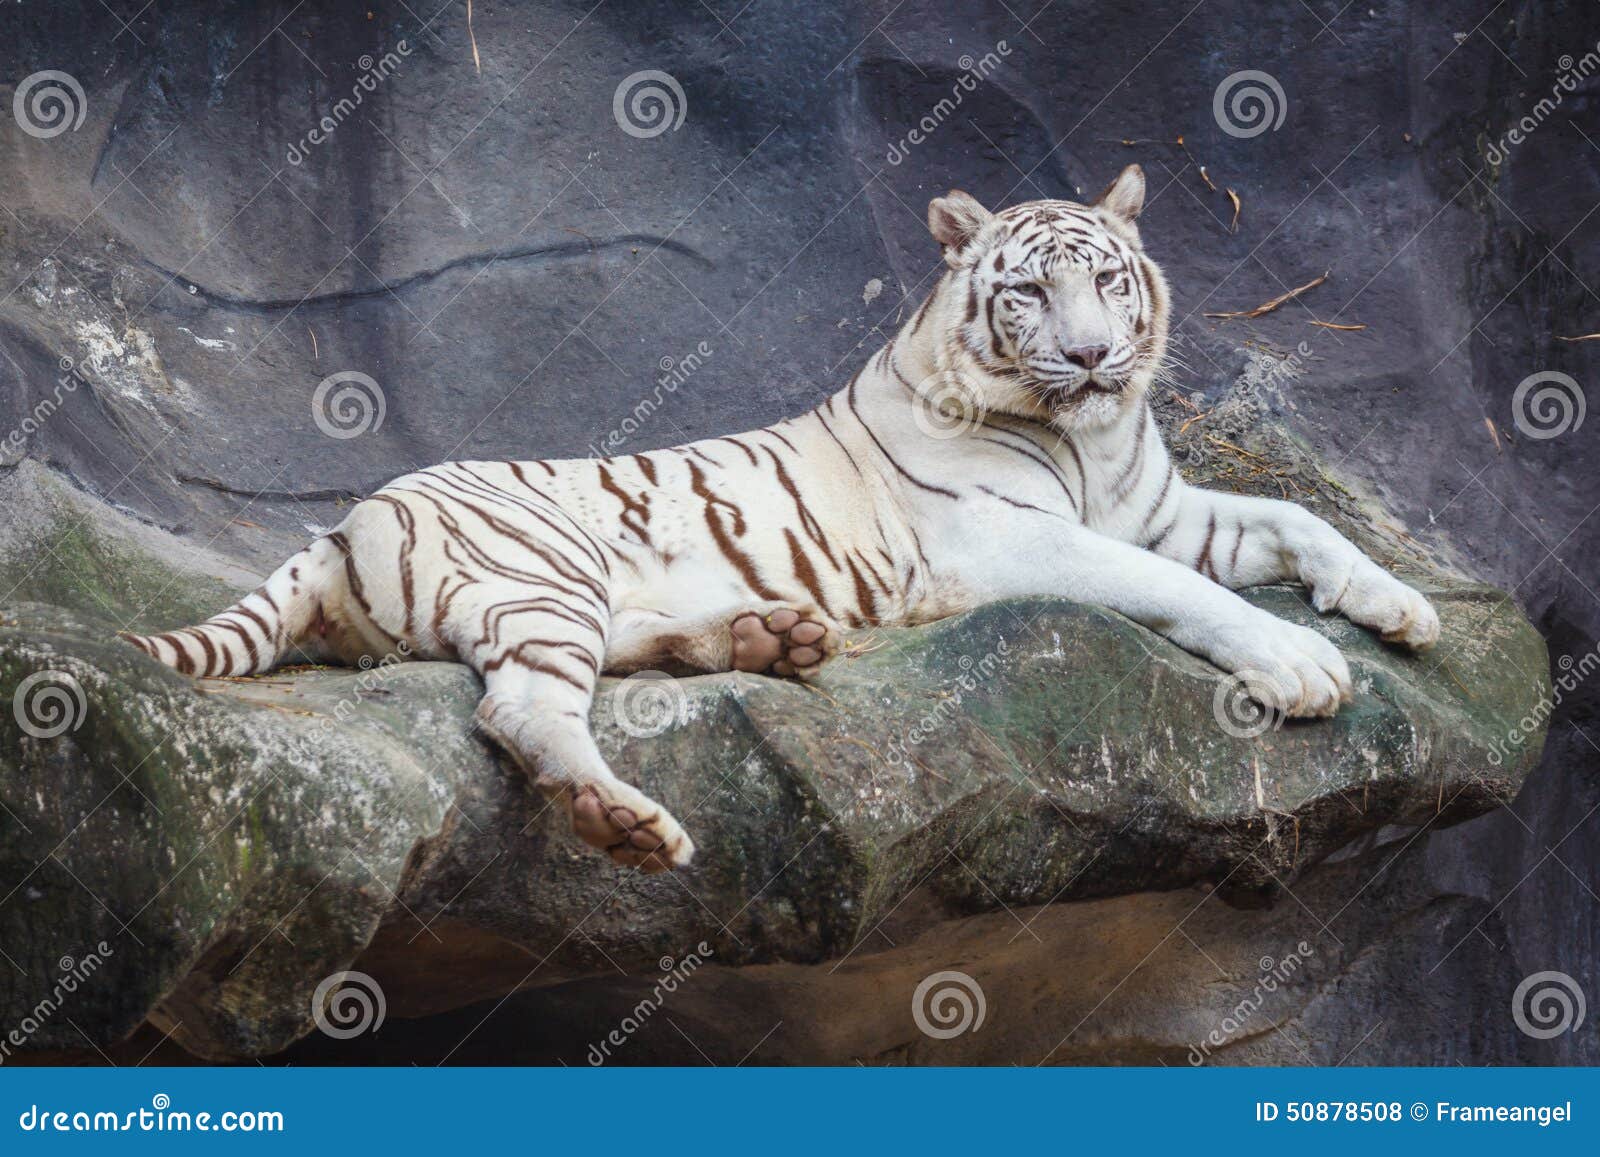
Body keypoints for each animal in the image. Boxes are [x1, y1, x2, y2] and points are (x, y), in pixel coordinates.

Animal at [121, 164, 1439, 875]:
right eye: (1028, 290)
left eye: (1108, 279)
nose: (1091, 356)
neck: (1093, 437)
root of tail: (346, 519)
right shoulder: (1014, 539)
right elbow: (1189, 591)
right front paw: (1303, 662)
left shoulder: (1158, 508)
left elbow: (1293, 518)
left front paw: (1401, 607)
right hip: (546, 569)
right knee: (523, 708)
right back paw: (628, 819)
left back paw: (774, 637)